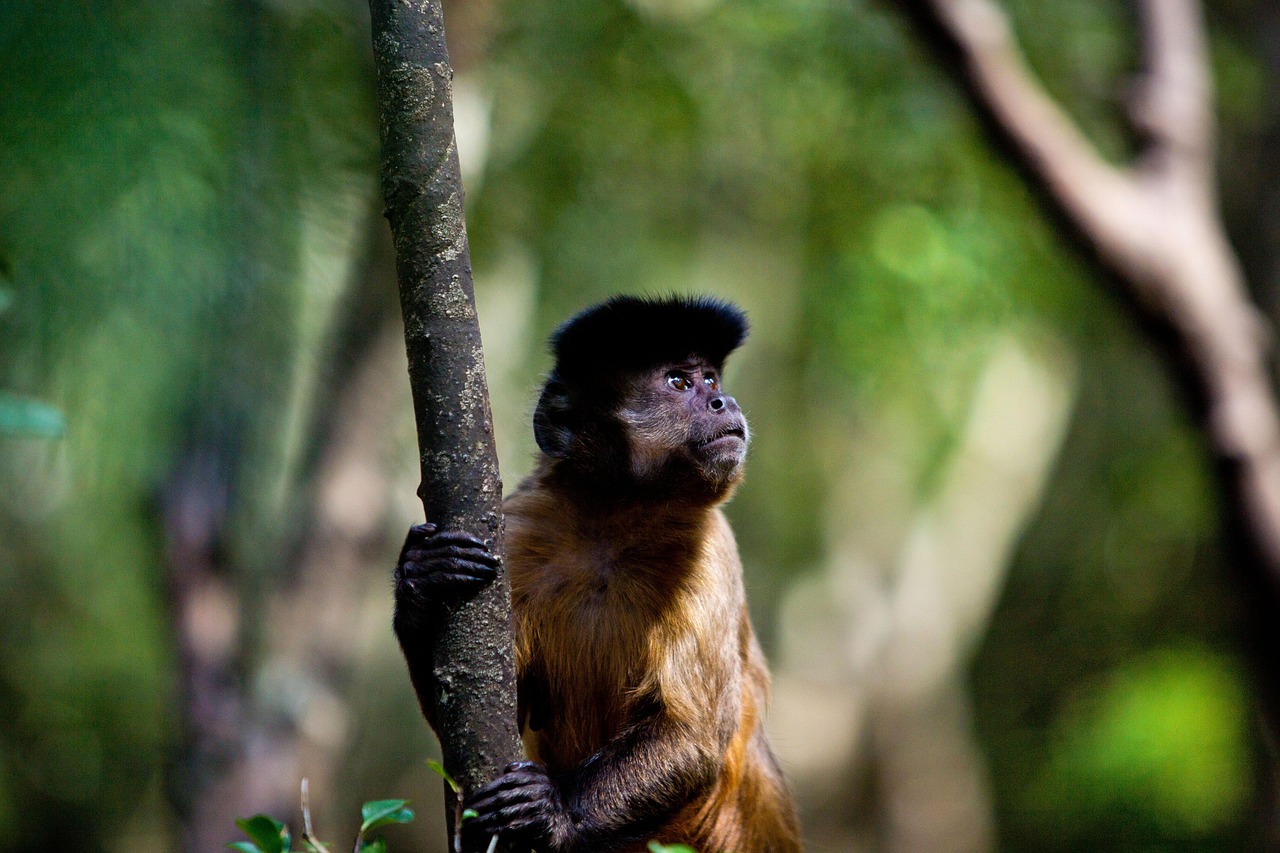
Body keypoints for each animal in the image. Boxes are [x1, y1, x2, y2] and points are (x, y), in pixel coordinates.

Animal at [394, 295, 801, 852]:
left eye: (711, 380)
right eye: (680, 382)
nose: (725, 402)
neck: (614, 523)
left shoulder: (711, 547)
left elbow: (691, 737)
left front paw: (552, 811)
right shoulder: (522, 528)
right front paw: (421, 578)